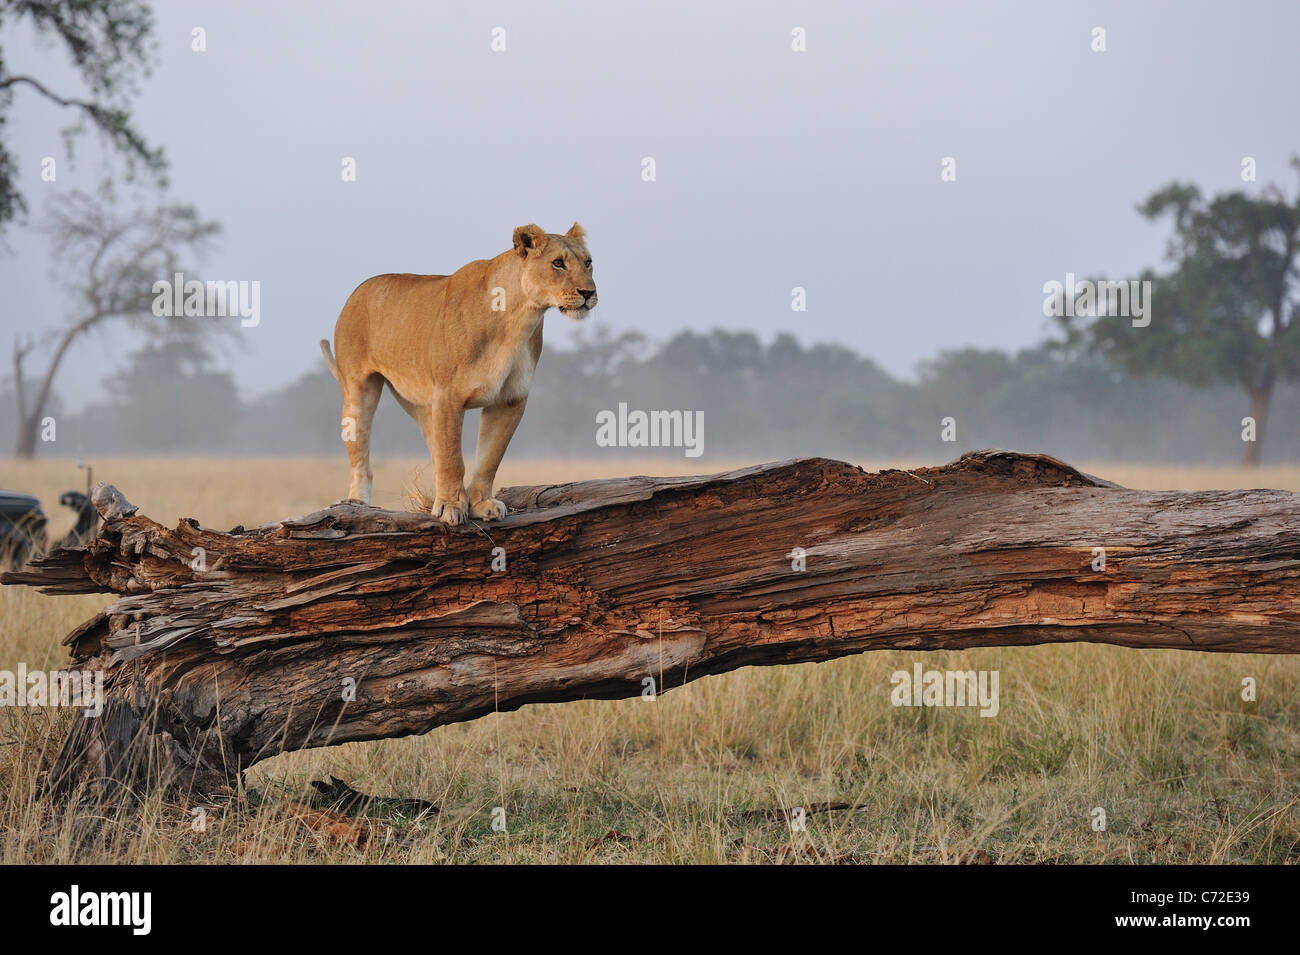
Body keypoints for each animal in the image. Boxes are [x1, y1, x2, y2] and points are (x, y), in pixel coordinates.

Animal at [319, 222, 596, 524]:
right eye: (558, 263)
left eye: (588, 263)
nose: (588, 293)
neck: (518, 320)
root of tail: (358, 290)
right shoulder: (448, 396)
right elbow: (453, 458)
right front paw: (451, 506)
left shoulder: (509, 399)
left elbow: (489, 458)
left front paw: (480, 503)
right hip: (359, 391)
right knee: (361, 454)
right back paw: (357, 501)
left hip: (421, 404)